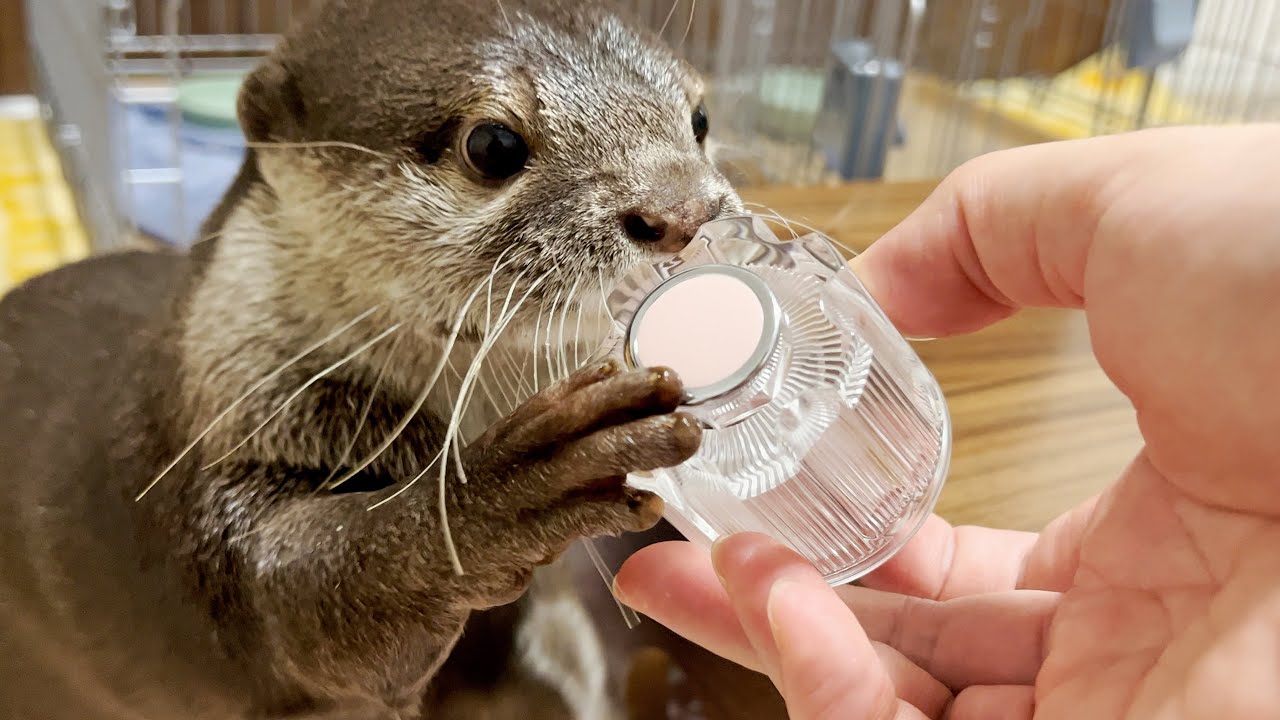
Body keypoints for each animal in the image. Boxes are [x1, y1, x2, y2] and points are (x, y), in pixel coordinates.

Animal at [0, 1, 745, 717]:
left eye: (700, 118)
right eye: (493, 145)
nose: (682, 213)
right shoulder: (208, 495)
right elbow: (301, 604)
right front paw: (517, 482)